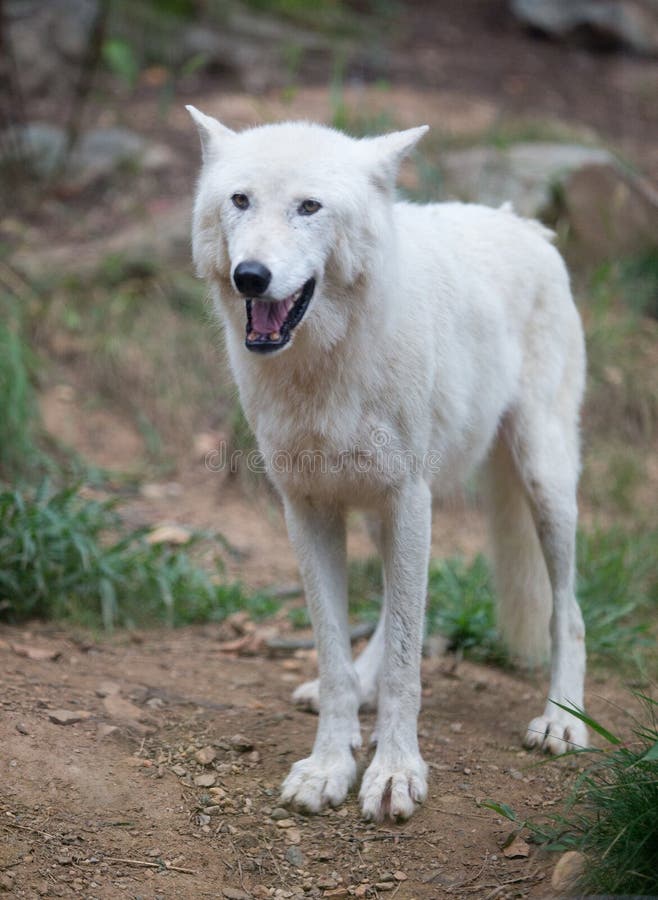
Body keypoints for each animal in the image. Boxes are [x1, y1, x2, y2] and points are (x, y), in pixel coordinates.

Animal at [187, 107, 588, 822]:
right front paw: (329, 765)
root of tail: (524, 222)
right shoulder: (308, 508)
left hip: (543, 481)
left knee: (568, 612)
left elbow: (407, 663)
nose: (251, 276)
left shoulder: (408, 498)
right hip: (382, 510)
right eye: (240, 200)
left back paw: (563, 721)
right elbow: (335, 649)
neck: (321, 367)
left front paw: (394, 773)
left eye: (309, 206)